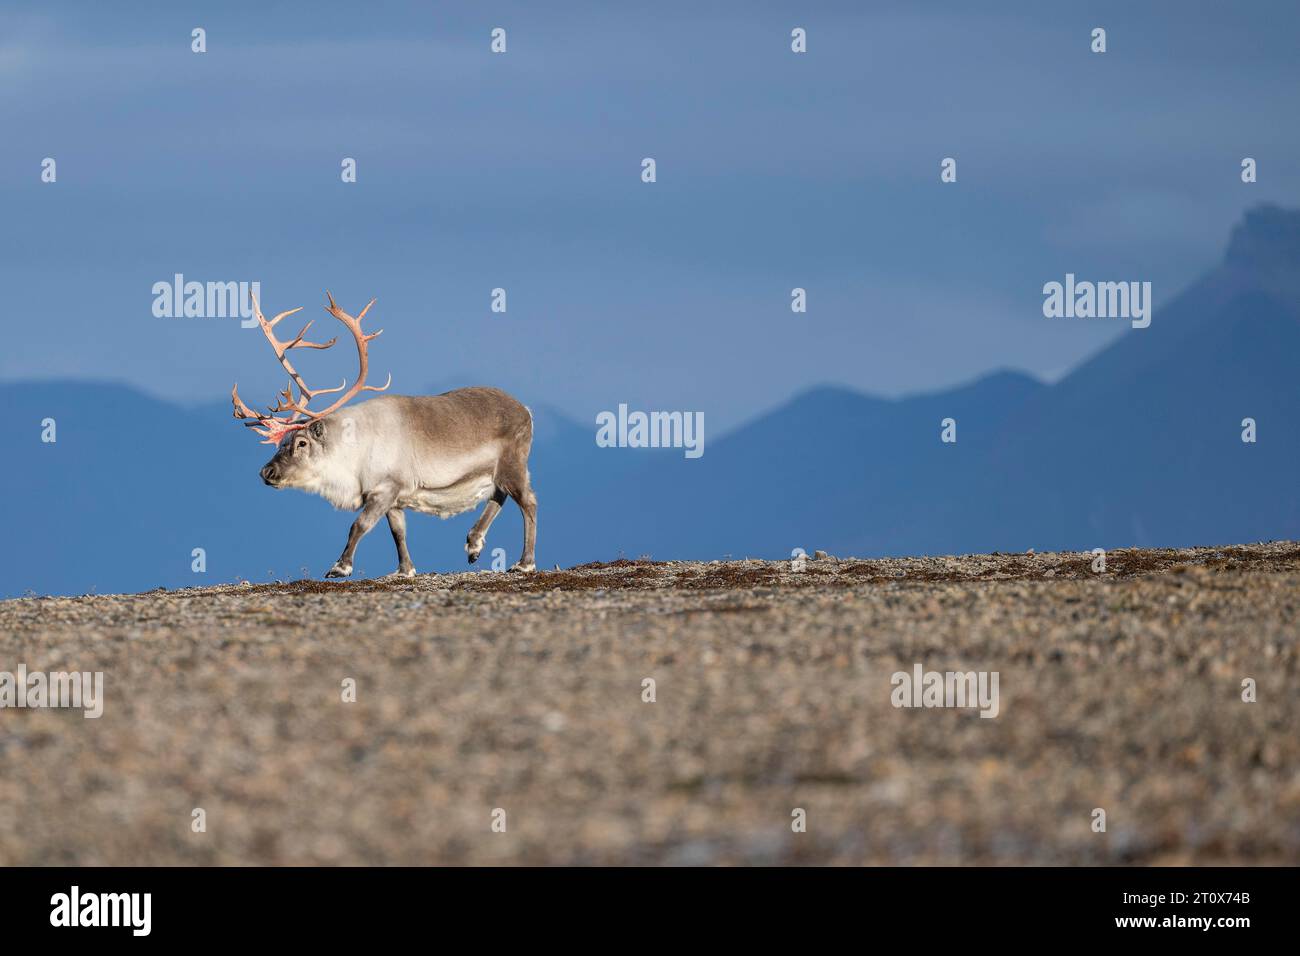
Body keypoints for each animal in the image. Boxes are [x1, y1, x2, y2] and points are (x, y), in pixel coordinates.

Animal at [232, 291, 537, 578]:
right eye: (281, 442)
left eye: (301, 442)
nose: (266, 472)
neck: (350, 453)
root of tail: (526, 410)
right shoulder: (394, 498)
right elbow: (398, 533)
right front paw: (405, 569)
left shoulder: (385, 488)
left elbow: (359, 525)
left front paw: (340, 567)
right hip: (496, 472)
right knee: (498, 496)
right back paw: (473, 544)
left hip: (512, 464)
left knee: (527, 501)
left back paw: (524, 563)